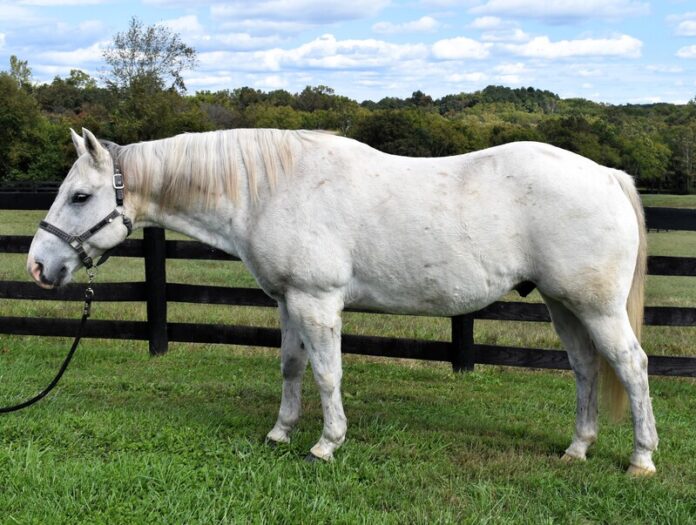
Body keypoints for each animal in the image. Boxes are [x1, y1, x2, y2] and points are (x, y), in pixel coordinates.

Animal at [27, 128, 657, 475]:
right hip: (562, 305)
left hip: (596, 307)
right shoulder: (288, 302)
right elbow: (291, 367)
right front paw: (280, 433)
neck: (272, 187)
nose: (37, 265)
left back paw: (641, 459)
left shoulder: (318, 301)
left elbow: (328, 374)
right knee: (585, 369)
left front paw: (326, 444)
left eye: (79, 196)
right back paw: (577, 449)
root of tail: (607, 174)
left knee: (631, 366)